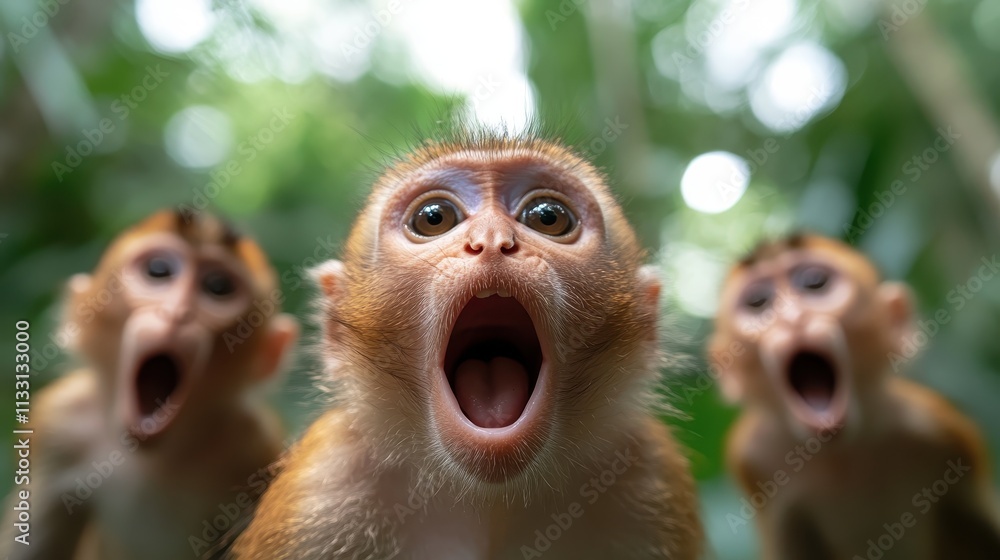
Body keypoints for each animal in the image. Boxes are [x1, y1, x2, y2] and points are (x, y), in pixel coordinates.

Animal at [3, 210, 299, 560]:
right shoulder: (59, 427)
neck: (152, 453)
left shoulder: (253, 444)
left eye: (218, 286)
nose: (177, 313)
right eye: (158, 271)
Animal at [229, 131, 703, 560]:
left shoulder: (651, 481)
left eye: (548, 216)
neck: (490, 500)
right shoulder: (321, 490)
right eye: (434, 217)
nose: (492, 240)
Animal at [710, 233, 1000, 560]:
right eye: (758, 302)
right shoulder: (754, 454)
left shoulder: (941, 431)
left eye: (814, 282)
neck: (843, 454)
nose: (792, 318)